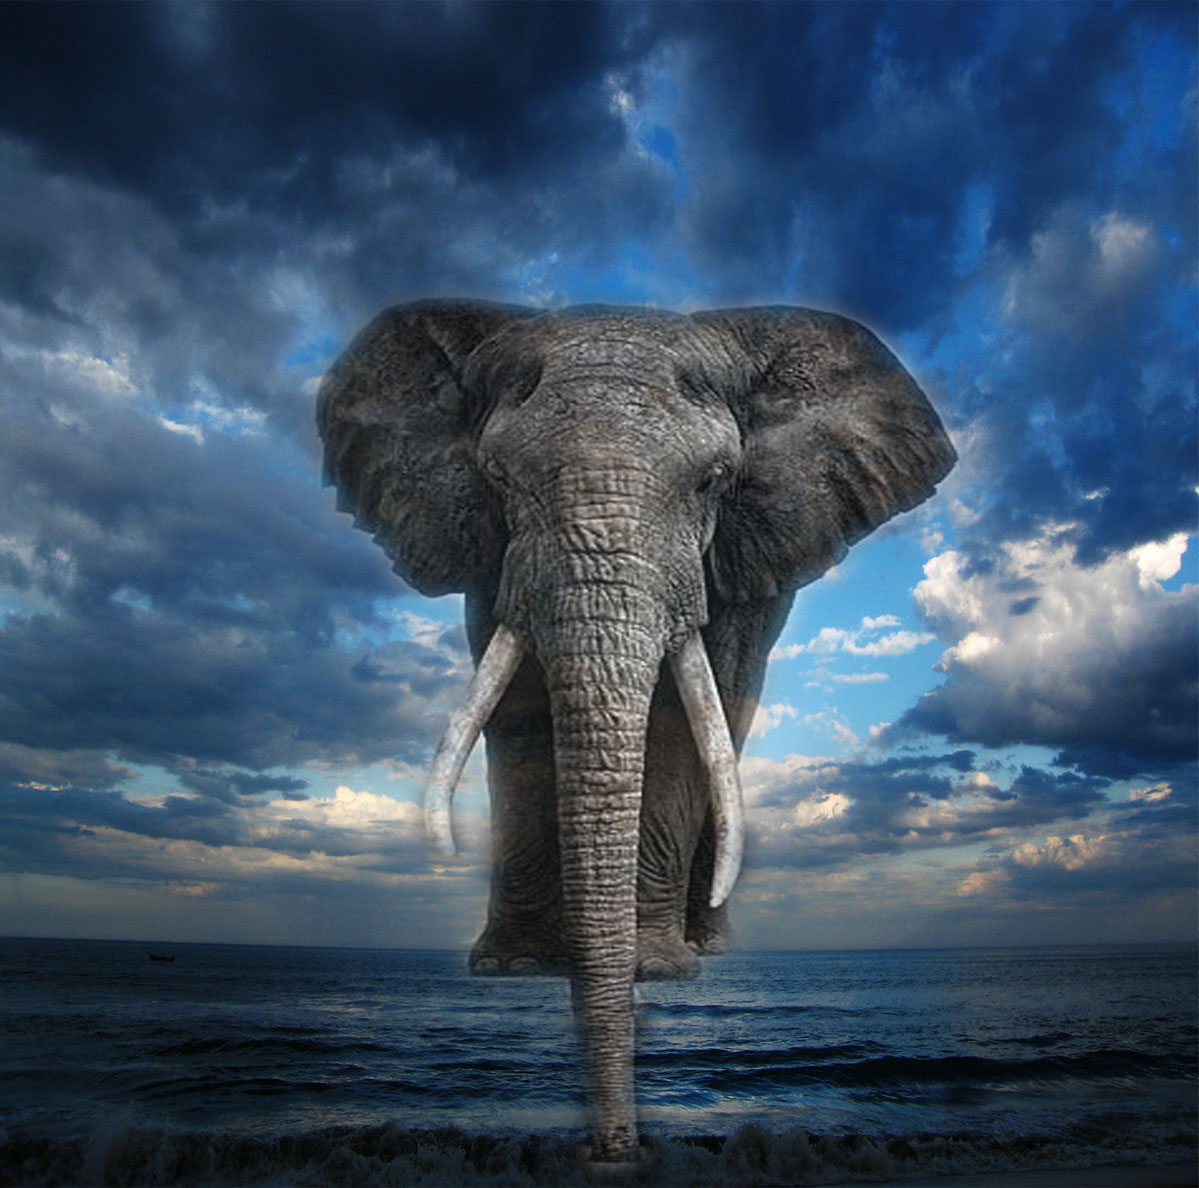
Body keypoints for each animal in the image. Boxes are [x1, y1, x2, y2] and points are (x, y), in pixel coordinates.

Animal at [316, 299, 955, 1163]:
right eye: (498, 479)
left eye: (713, 482)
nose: (614, 1150)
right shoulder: (492, 552)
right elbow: (518, 710)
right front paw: (515, 968)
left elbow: (684, 721)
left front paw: (655, 970)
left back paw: (709, 949)